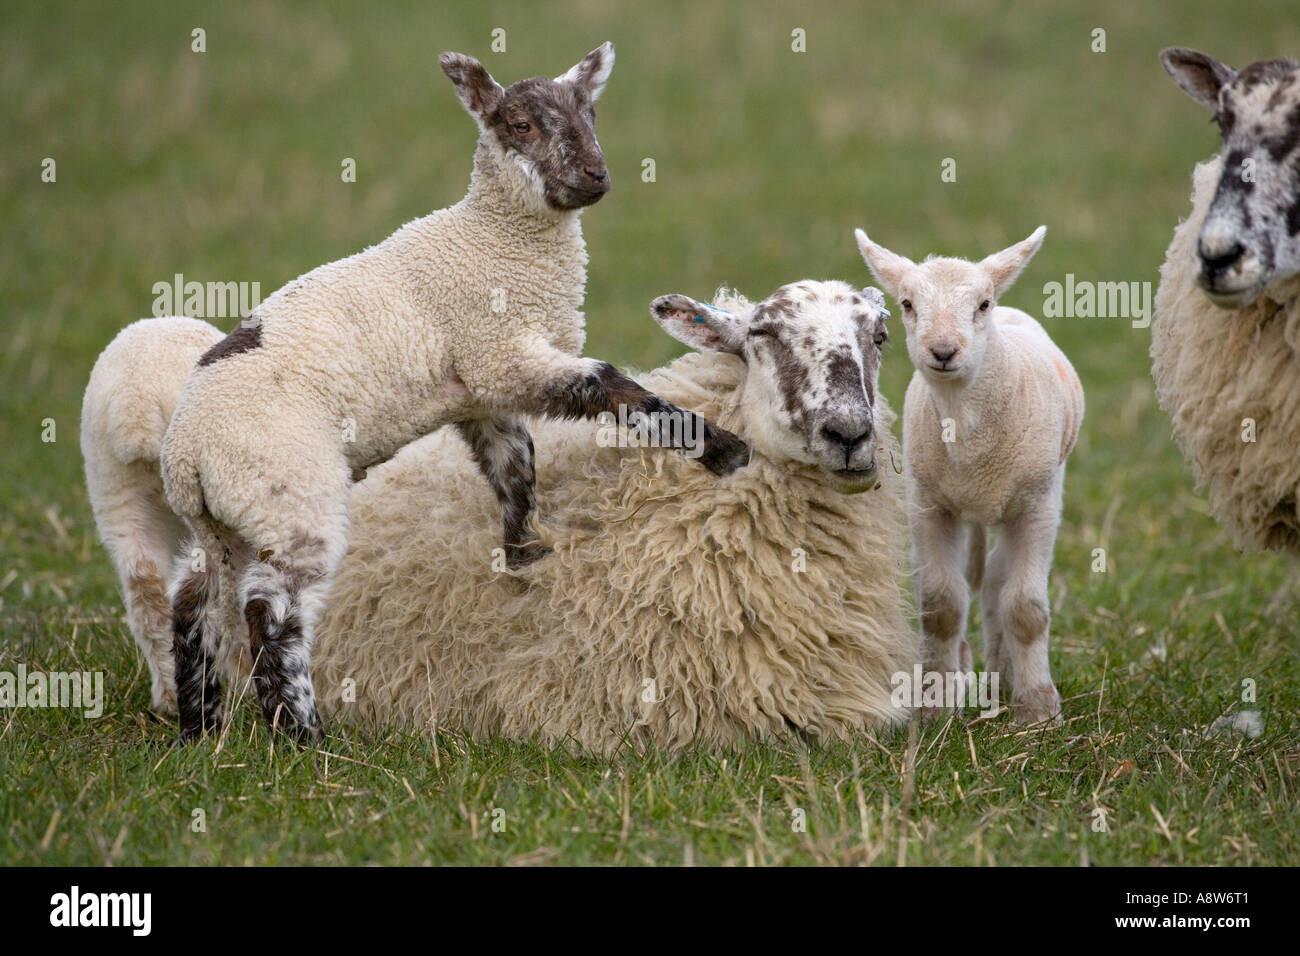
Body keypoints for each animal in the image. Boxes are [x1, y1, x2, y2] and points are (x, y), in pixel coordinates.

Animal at [156, 43, 748, 742]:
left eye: (591, 112)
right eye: (520, 124)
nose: (595, 176)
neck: (494, 237)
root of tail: (184, 457)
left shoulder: (481, 393)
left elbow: (515, 467)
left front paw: (525, 557)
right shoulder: (499, 354)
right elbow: (609, 384)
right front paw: (723, 450)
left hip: (232, 518)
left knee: (196, 599)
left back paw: (202, 724)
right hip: (288, 490)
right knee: (270, 611)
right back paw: (305, 738)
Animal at [855, 226, 1083, 726]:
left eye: (982, 304)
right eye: (906, 304)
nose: (943, 352)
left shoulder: (1038, 508)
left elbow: (1025, 608)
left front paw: (1038, 708)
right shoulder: (930, 506)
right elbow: (941, 604)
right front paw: (935, 704)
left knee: (998, 581)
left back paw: (1003, 674)